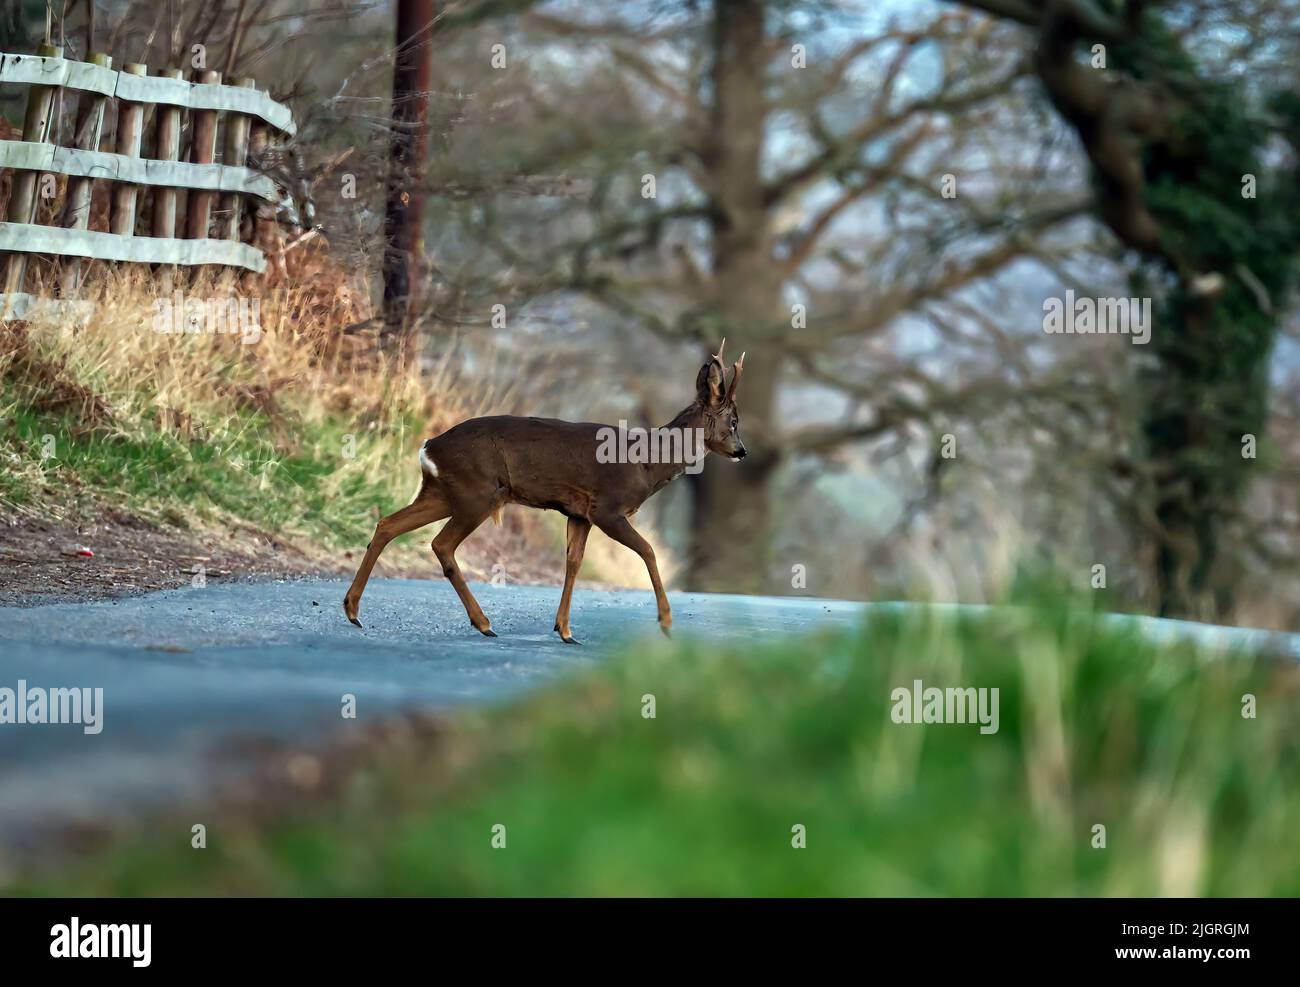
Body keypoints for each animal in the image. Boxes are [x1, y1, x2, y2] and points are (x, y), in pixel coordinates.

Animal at [342, 342, 746, 643]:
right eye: (734, 421)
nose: (742, 451)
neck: (647, 463)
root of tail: (428, 446)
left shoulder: (579, 513)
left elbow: (573, 562)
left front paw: (564, 630)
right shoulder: (607, 508)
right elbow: (647, 550)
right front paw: (665, 621)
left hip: (441, 492)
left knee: (388, 524)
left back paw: (353, 611)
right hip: (477, 493)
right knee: (441, 543)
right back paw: (484, 623)